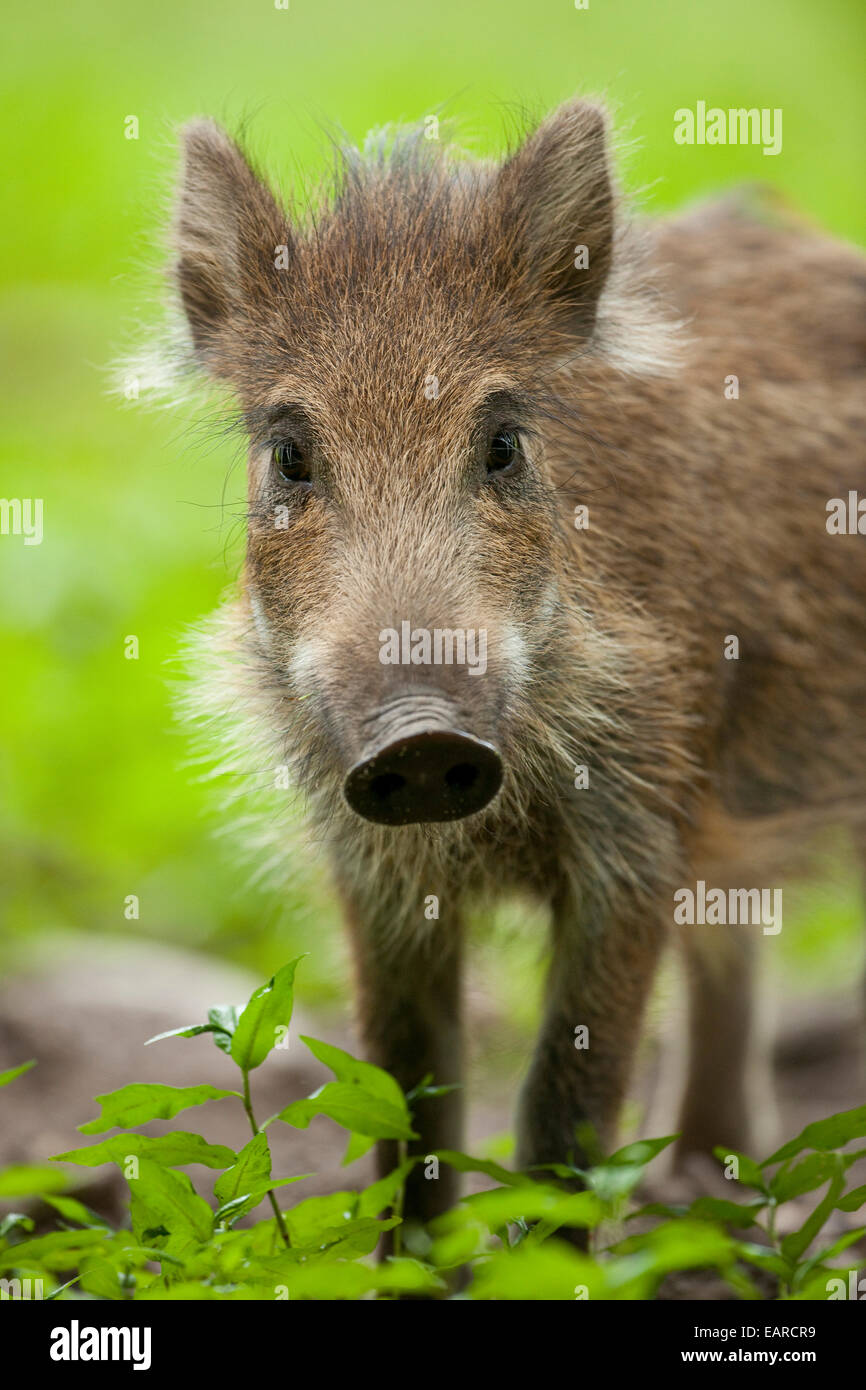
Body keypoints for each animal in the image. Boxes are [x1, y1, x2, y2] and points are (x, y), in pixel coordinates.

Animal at [165, 97, 866, 1237]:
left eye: (501, 443)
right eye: (290, 453)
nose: (418, 735)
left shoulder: (640, 827)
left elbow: (567, 1102)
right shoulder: (368, 863)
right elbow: (407, 1097)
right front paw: (415, 1260)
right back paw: (699, 1193)